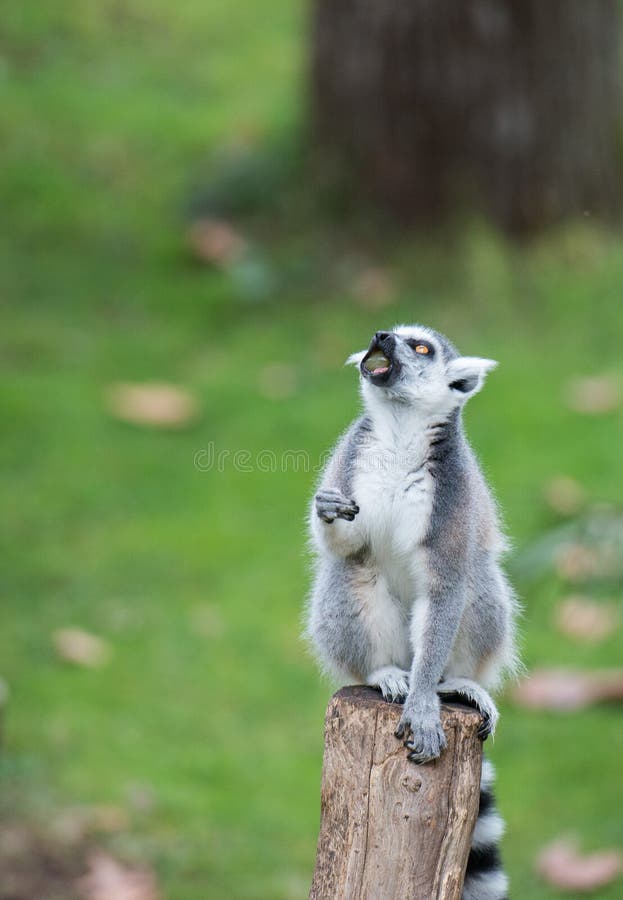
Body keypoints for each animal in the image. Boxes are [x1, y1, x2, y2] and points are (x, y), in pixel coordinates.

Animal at [305, 324, 518, 900]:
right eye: (388, 334)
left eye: (420, 347)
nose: (380, 336)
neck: (400, 436)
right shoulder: (349, 461)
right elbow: (344, 544)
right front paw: (326, 513)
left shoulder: (453, 494)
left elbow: (445, 588)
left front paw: (423, 705)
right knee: (351, 572)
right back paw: (384, 673)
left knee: (475, 580)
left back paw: (453, 683)